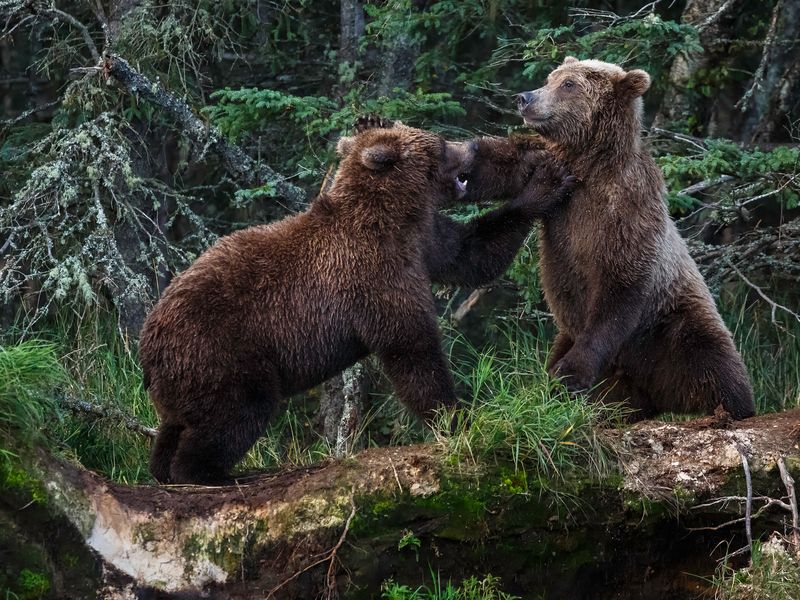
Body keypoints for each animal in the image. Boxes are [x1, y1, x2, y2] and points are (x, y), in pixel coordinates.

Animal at [140, 120, 577, 484]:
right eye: (439, 145)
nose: (468, 147)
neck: (392, 216)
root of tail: (147, 343)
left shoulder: (423, 243)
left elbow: (472, 252)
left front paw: (543, 186)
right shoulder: (374, 275)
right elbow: (412, 349)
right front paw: (455, 416)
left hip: (185, 378)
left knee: (177, 424)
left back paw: (162, 466)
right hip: (222, 351)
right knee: (236, 414)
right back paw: (210, 473)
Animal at [497, 57, 755, 420]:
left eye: (569, 84)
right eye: (551, 78)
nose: (525, 98)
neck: (591, 170)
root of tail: (652, 393)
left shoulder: (627, 216)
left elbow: (620, 289)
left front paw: (570, 373)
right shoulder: (560, 225)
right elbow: (564, 287)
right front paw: (561, 378)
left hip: (673, 323)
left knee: (711, 360)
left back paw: (729, 406)